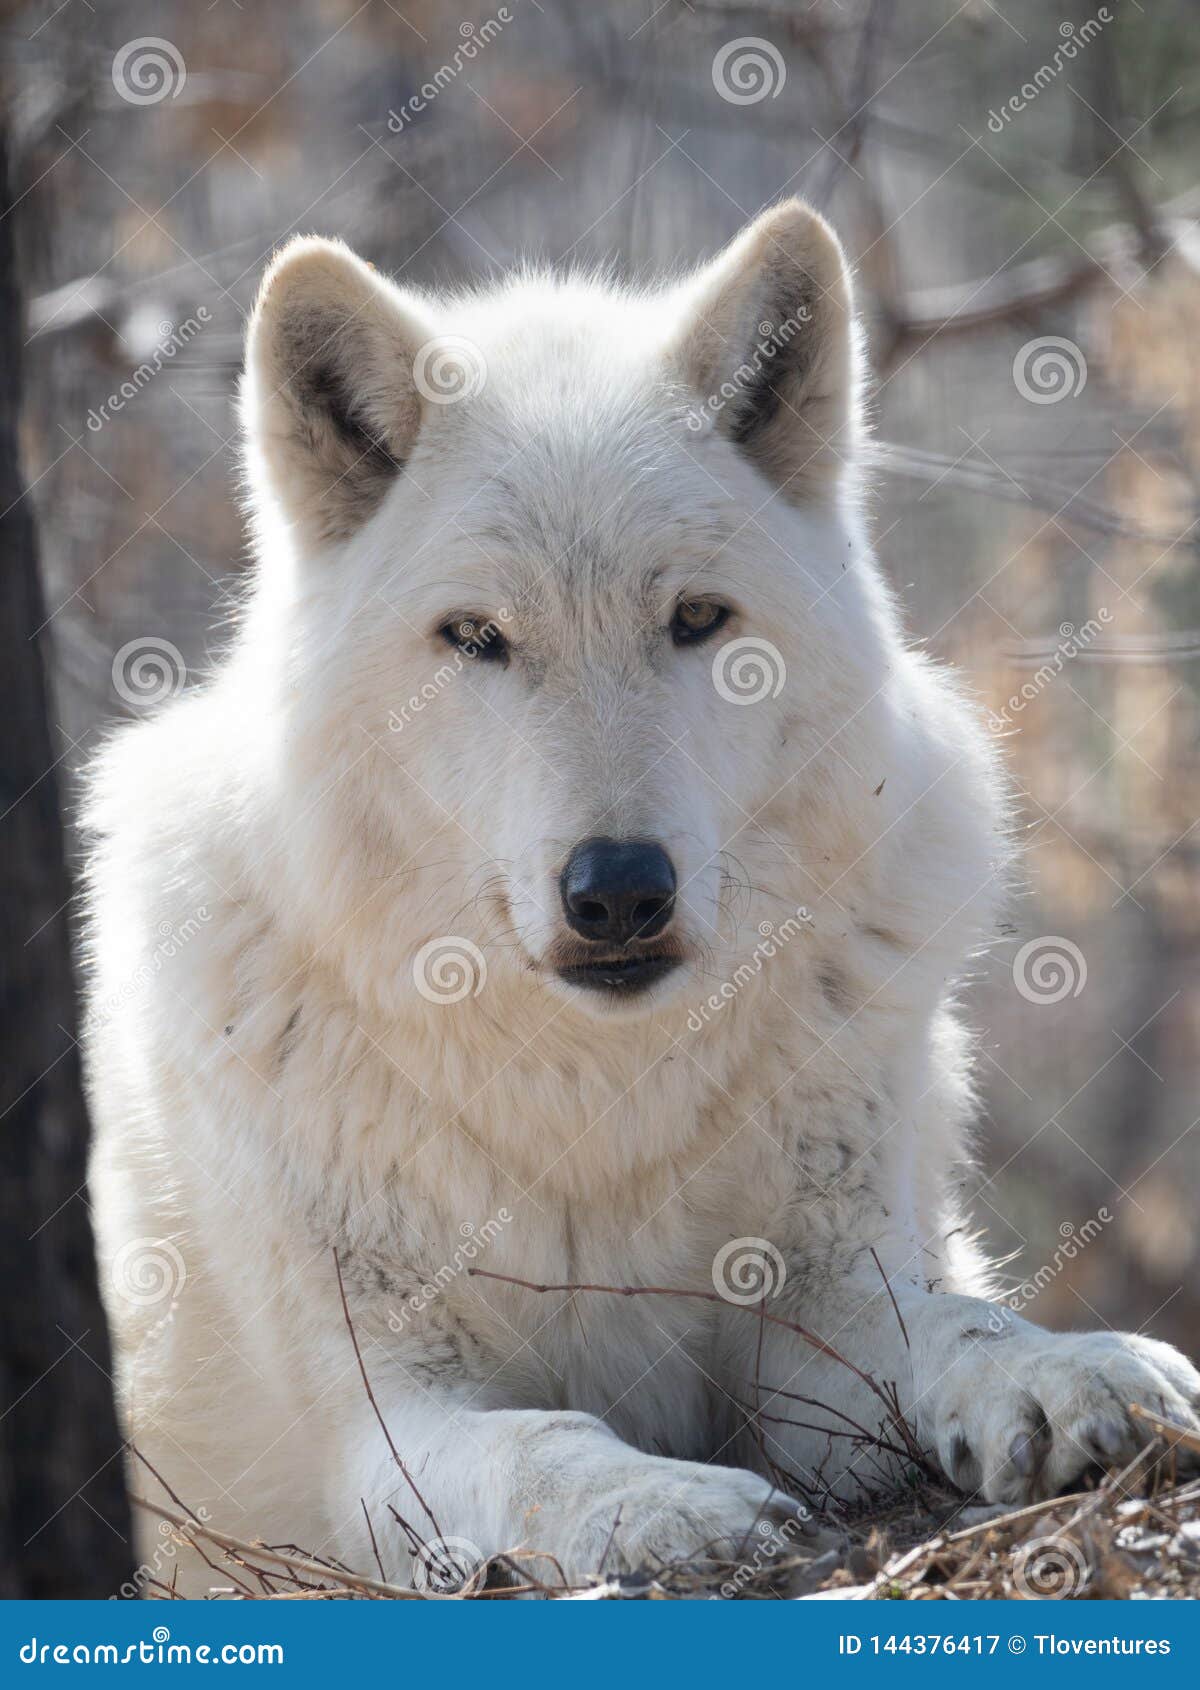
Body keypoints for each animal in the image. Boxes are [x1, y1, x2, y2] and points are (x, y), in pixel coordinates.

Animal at [84, 200, 1200, 1594]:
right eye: (475, 638)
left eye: (697, 619)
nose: (618, 889)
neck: (595, 1100)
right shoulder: (382, 1413)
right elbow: (545, 1439)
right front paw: (665, 1504)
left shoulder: (824, 1308)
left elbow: (963, 1323)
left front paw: (1069, 1372)